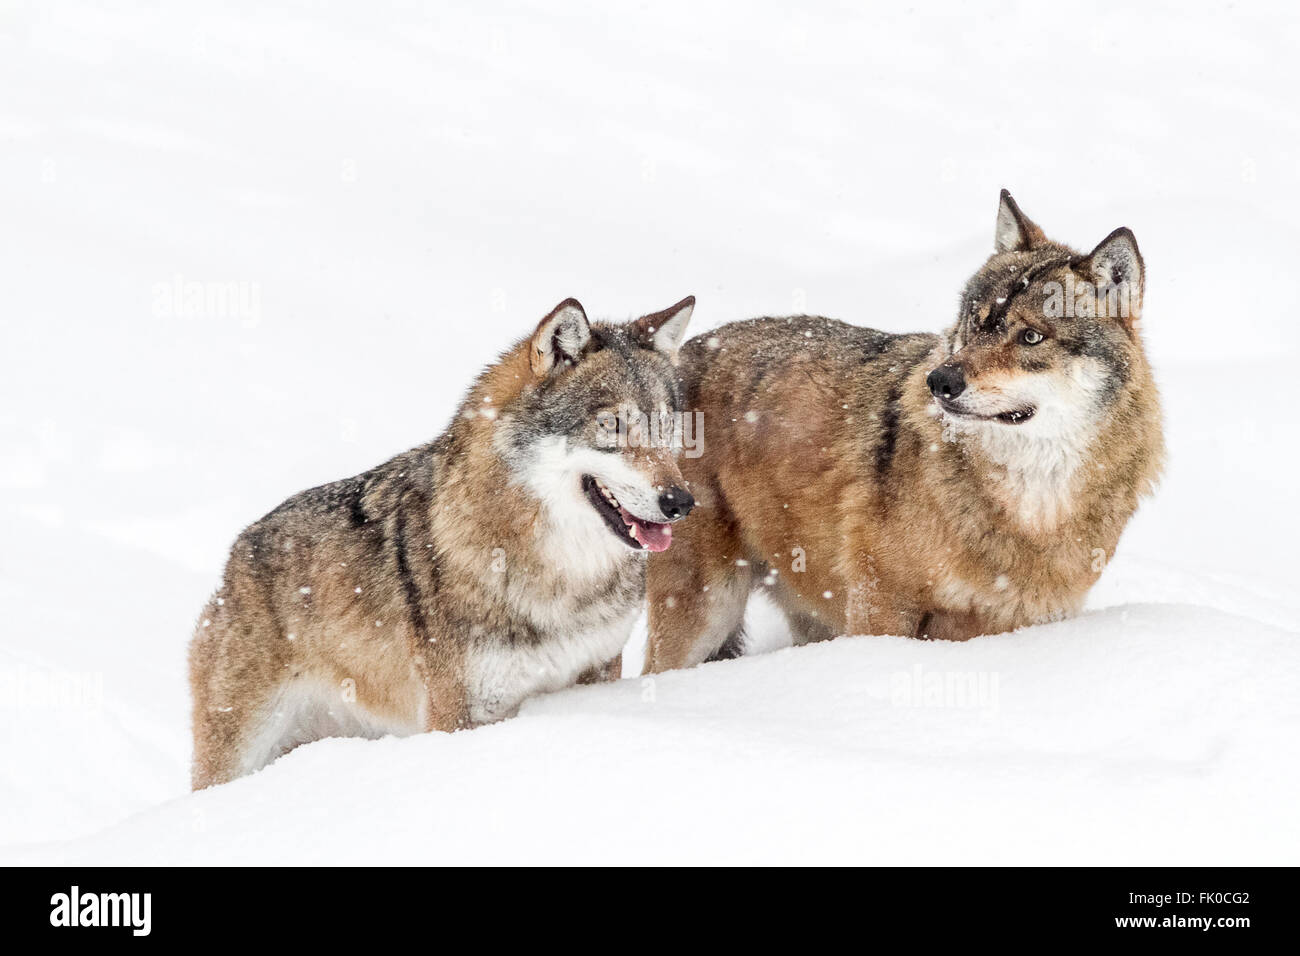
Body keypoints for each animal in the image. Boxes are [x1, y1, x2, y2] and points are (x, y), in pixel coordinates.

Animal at [190, 295, 696, 788]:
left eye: (666, 426)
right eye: (612, 425)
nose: (681, 502)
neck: (563, 577)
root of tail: (237, 553)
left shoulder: (597, 673)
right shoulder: (457, 711)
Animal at [644, 191, 1164, 671]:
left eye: (1031, 336)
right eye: (973, 323)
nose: (941, 380)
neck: (1031, 503)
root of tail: (676, 360)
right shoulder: (881, 605)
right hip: (705, 614)